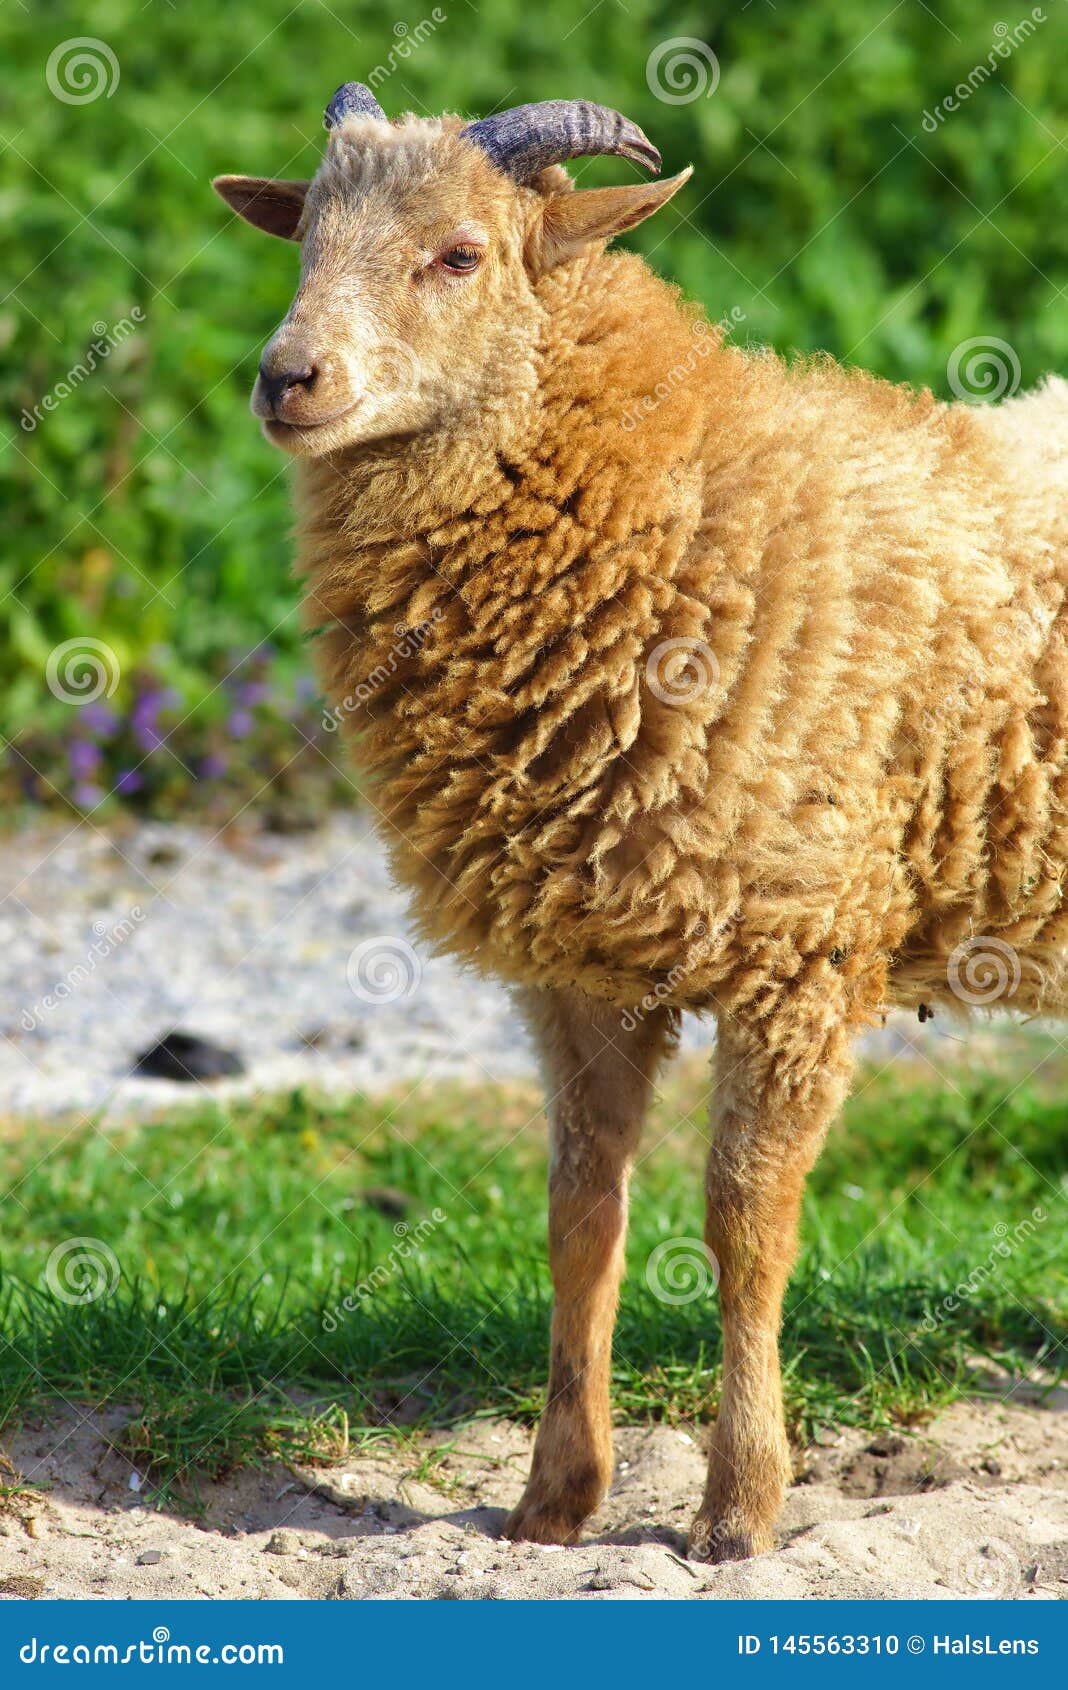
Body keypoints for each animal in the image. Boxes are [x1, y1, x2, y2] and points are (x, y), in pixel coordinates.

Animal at [213, 83, 1068, 1561]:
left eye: (461, 256)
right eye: (303, 235)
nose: (288, 381)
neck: (684, 499)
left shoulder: (802, 953)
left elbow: (743, 1223)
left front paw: (739, 1507)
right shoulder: (580, 970)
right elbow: (580, 1214)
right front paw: (554, 1498)